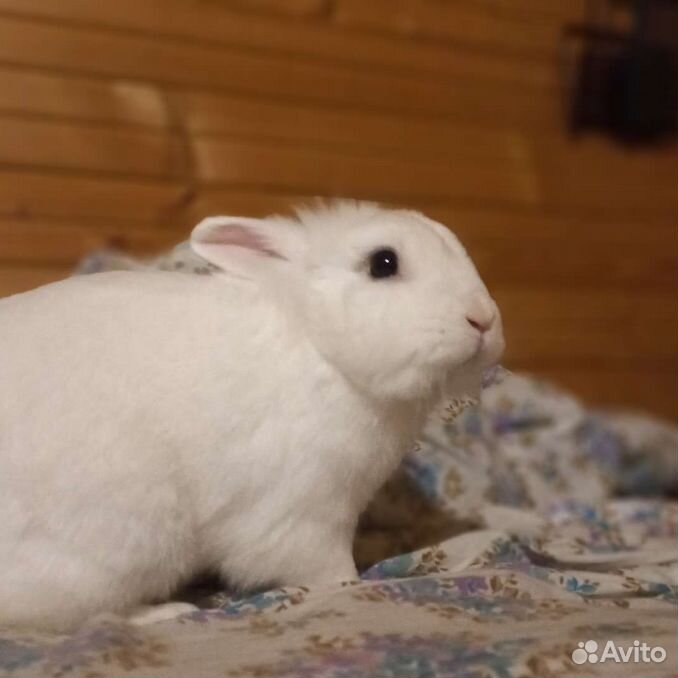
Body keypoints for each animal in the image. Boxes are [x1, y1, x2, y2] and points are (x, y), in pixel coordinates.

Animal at [0, 201, 504, 631]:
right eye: (383, 262)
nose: (482, 319)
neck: (316, 340)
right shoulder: (299, 512)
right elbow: (325, 567)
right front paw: (355, 586)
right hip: (120, 546)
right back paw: (166, 611)